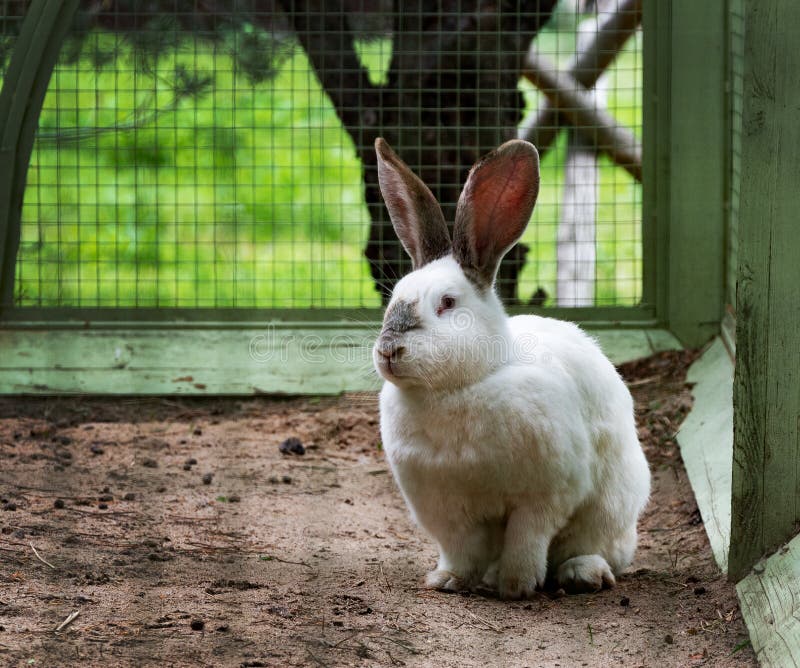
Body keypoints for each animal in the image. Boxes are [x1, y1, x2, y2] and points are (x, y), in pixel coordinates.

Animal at [371, 137, 650, 599]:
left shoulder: (543, 495)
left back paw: (582, 574)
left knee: (596, 550)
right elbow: (460, 548)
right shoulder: (444, 509)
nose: (388, 351)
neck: (463, 386)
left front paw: (516, 586)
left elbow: (527, 538)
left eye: (447, 303)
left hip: (610, 511)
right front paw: (449, 580)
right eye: (394, 297)